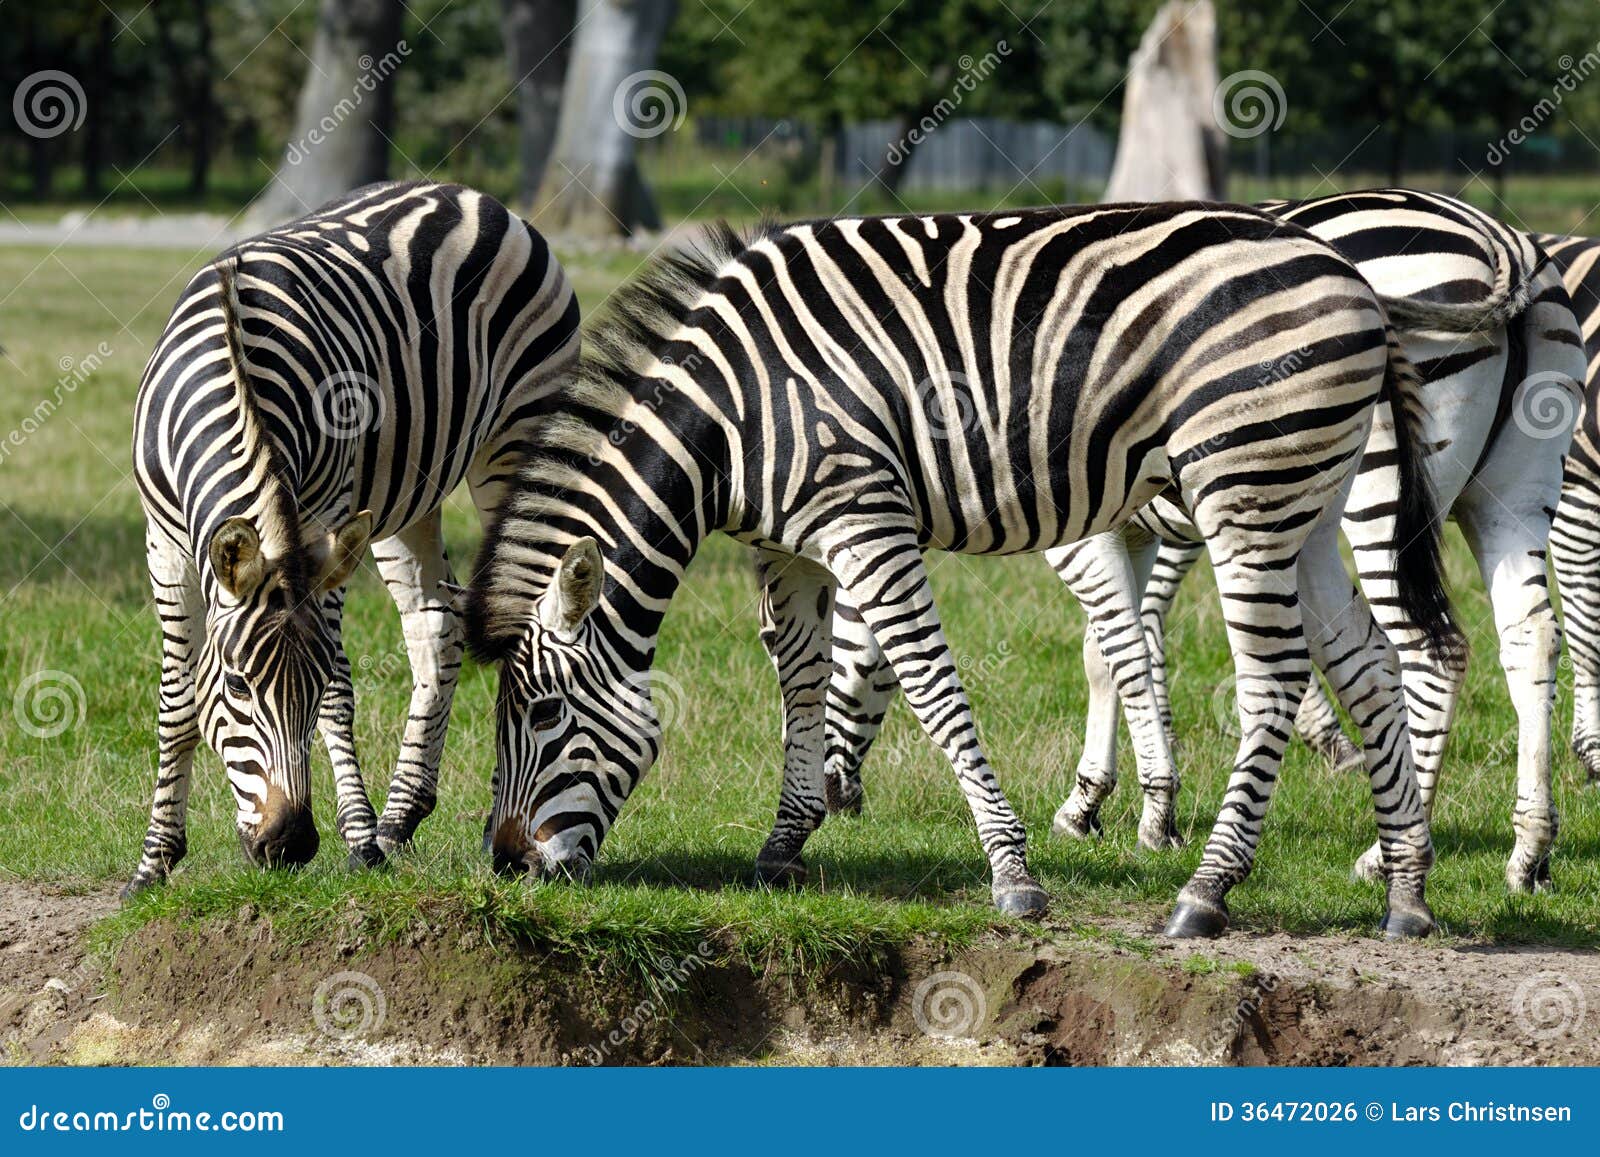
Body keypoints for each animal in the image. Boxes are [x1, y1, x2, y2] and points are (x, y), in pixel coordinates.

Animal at [125, 180, 579, 896]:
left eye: (306, 692)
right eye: (237, 689)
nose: (289, 845)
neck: (236, 376)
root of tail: (470, 194)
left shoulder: (324, 520)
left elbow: (342, 684)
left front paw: (360, 841)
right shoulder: (164, 543)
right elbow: (175, 700)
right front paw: (154, 862)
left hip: (517, 442)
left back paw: (479, 823)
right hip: (404, 500)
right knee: (436, 624)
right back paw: (402, 817)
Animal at [463, 202, 1455, 938]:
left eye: (541, 715)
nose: (504, 862)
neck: (729, 421)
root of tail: (1353, 280)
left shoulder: (864, 518)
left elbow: (932, 686)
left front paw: (1012, 872)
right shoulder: (786, 547)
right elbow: (802, 679)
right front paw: (784, 842)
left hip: (1244, 488)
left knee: (1276, 677)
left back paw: (1207, 892)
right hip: (1306, 503)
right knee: (1368, 662)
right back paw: (1405, 889)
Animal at [823, 190, 1587, 896]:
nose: (839, 801)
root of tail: (1499, 237)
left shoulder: (1081, 538)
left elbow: (1124, 652)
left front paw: (1151, 813)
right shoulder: (1130, 528)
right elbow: (1108, 653)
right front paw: (1090, 801)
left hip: (1384, 490)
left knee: (1430, 650)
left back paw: (1389, 850)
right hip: (1512, 498)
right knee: (1530, 637)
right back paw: (1530, 852)